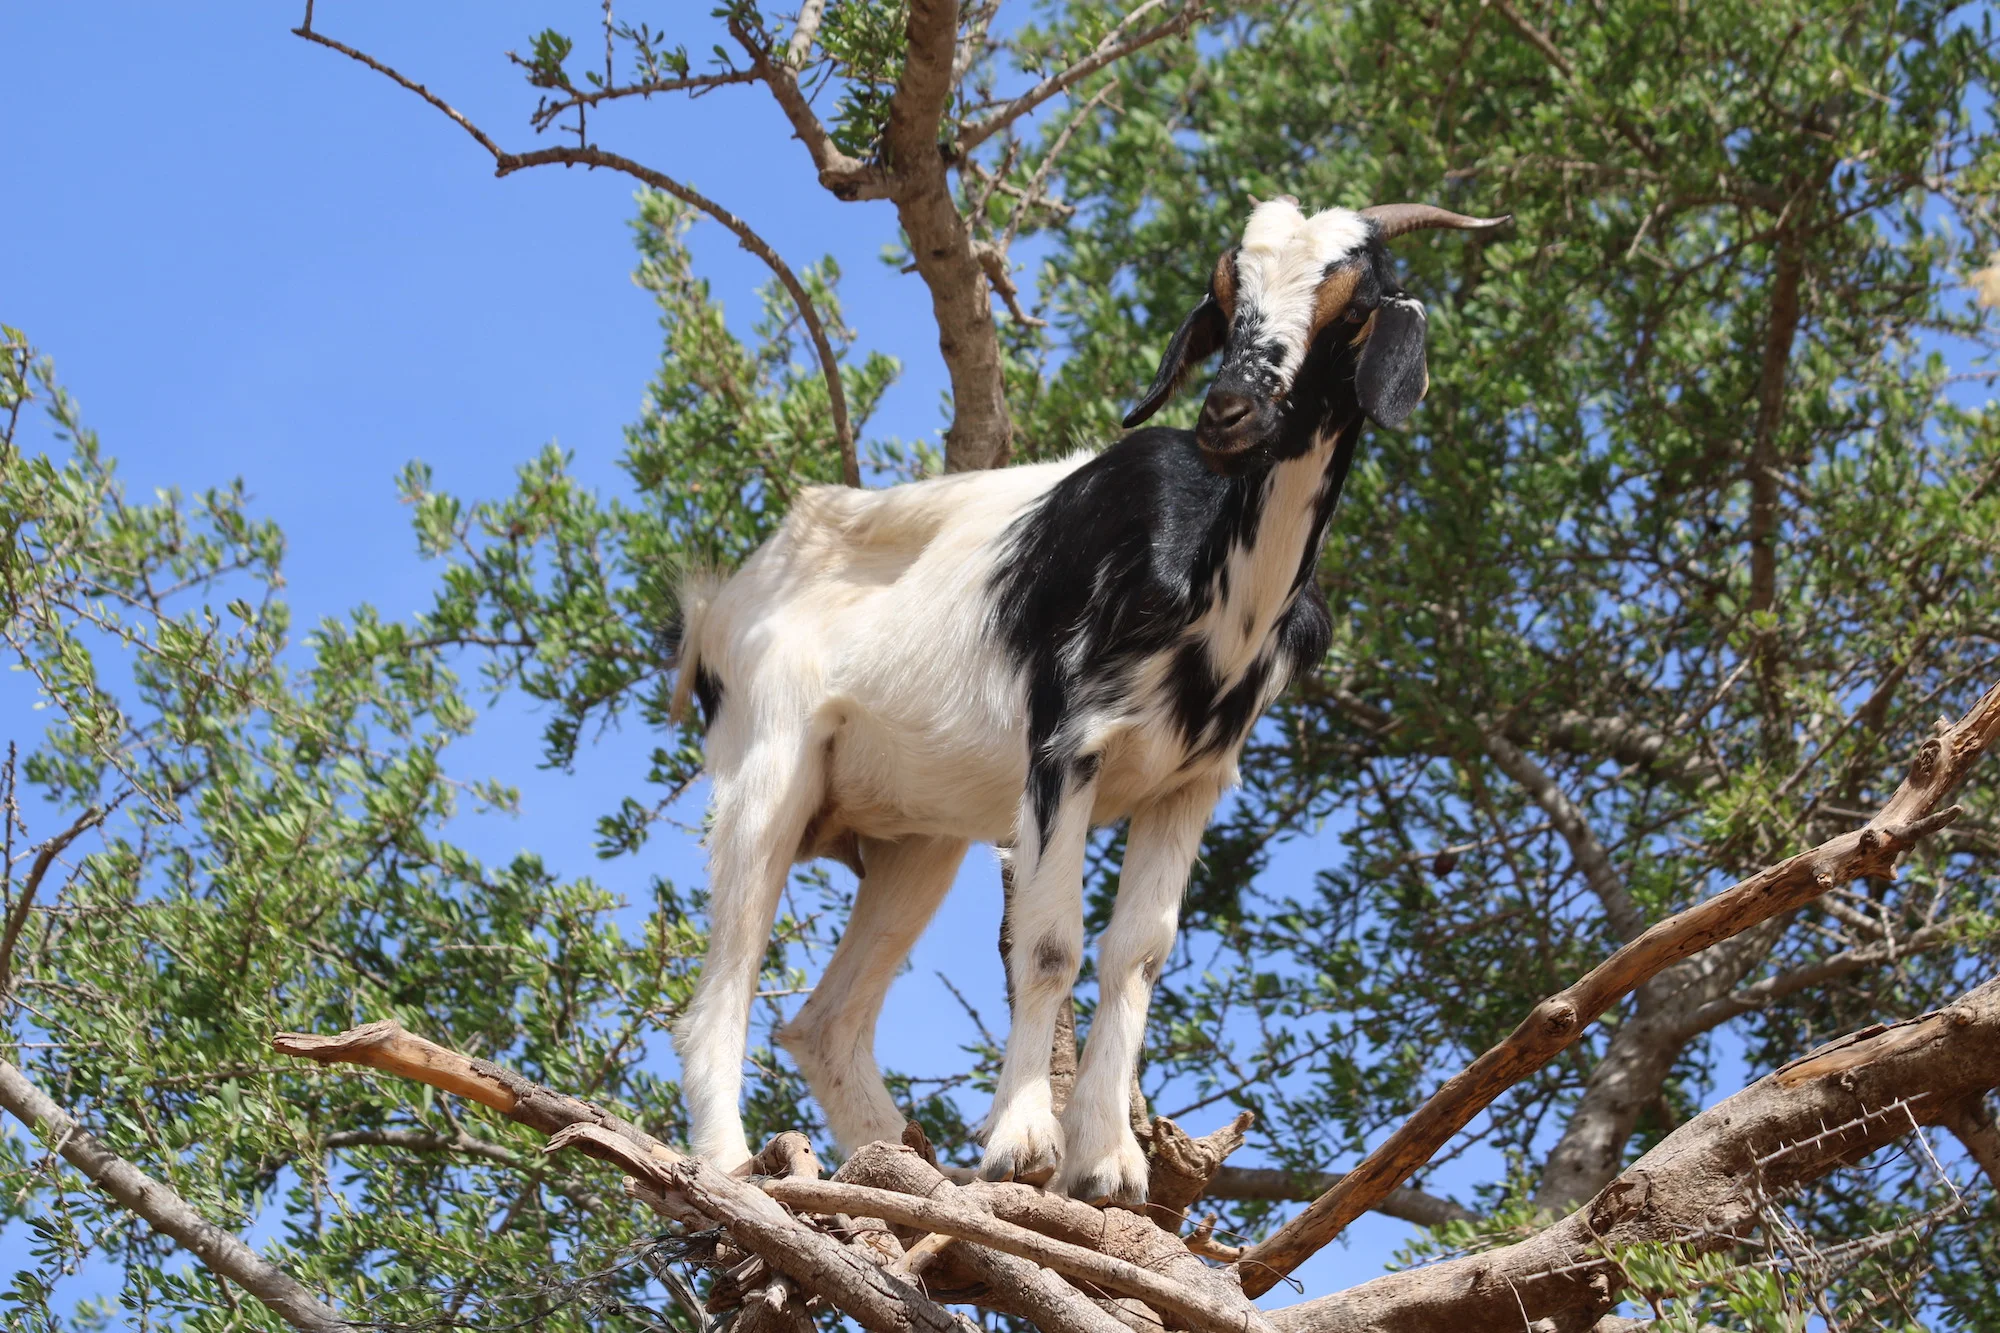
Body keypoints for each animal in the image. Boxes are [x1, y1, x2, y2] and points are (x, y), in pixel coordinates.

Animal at [669, 197, 1508, 1204]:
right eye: (1228, 300)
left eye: (1350, 308)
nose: (1228, 412)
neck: (1215, 583)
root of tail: (721, 601)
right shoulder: (1065, 744)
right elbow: (1049, 942)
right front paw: (1024, 1141)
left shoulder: (1193, 780)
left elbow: (1136, 950)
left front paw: (1105, 1159)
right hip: (769, 768)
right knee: (721, 989)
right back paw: (729, 1166)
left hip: (917, 836)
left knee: (825, 1020)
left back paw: (903, 1174)